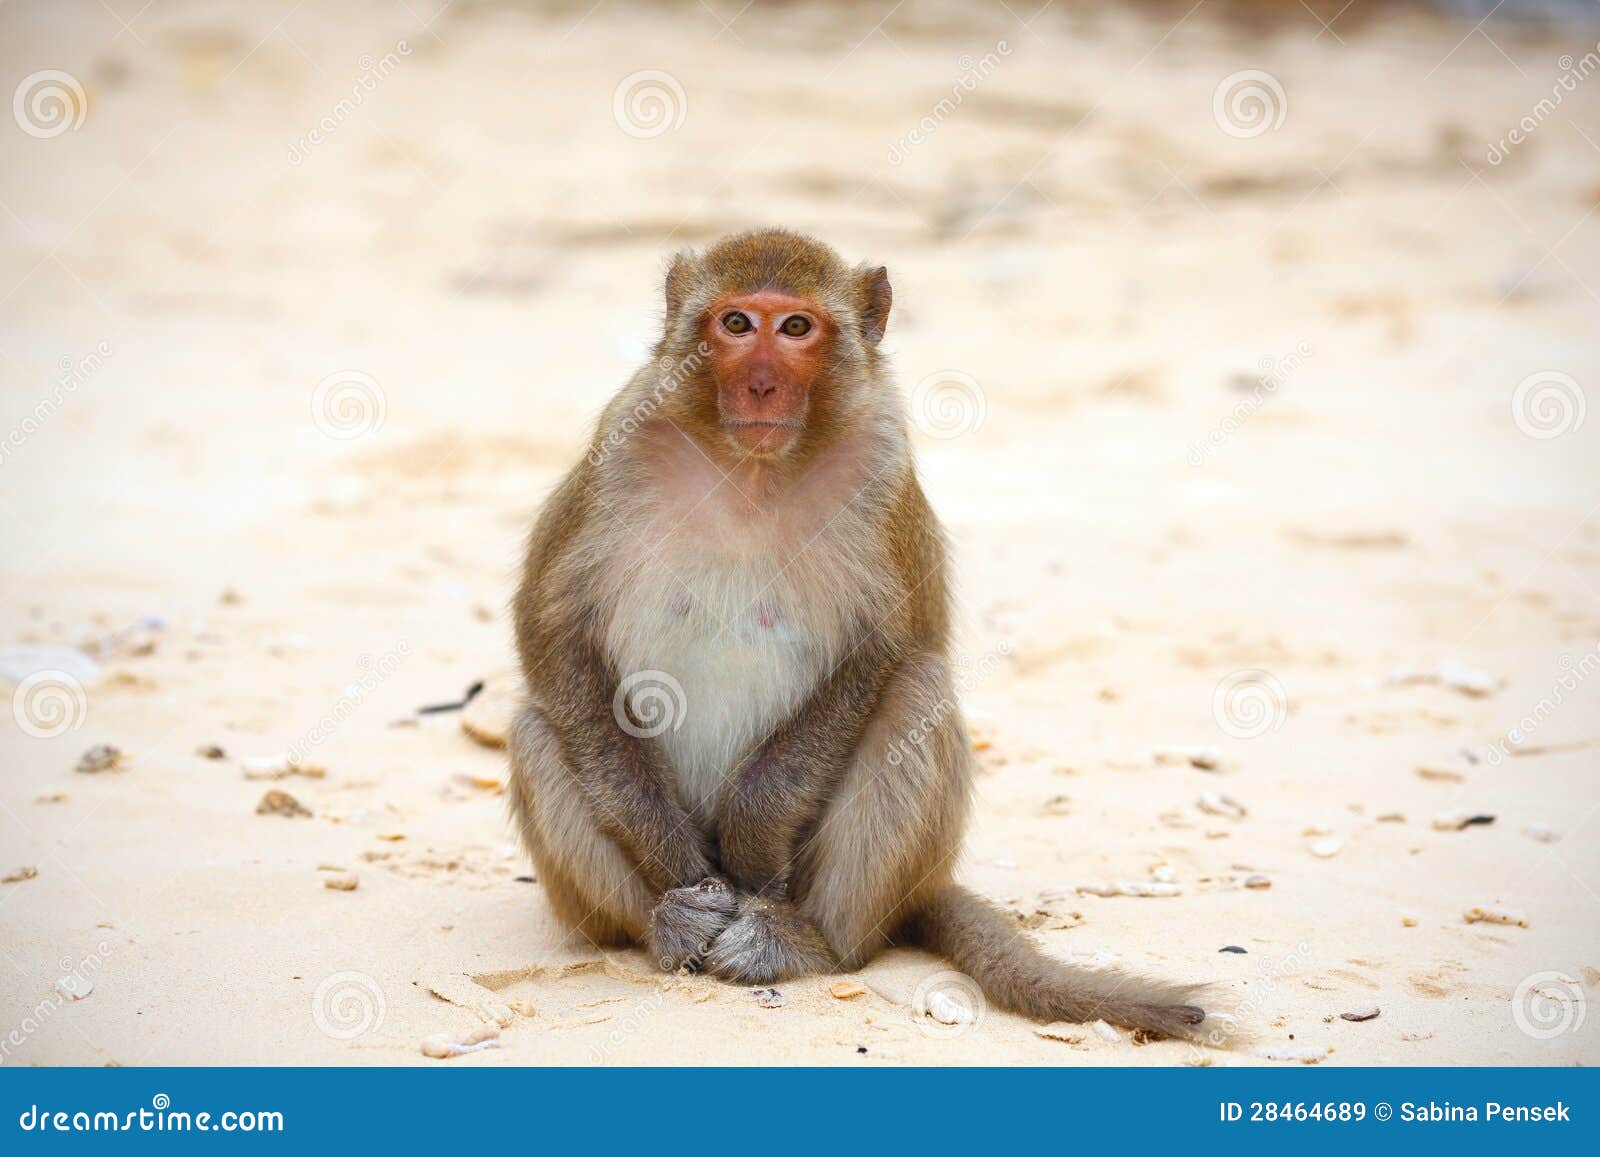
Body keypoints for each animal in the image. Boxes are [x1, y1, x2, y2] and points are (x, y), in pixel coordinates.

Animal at [506, 228, 1211, 1040]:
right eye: (737, 324)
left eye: (796, 328)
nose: (761, 386)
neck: (752, 470)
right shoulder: (620, 446)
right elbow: (554, 629)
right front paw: (678, 864)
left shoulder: (881, 466)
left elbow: (888, 646)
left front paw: (753, 833)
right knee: (538, 725)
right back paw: (665, 926)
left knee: (916, 692)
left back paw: (807, 941)